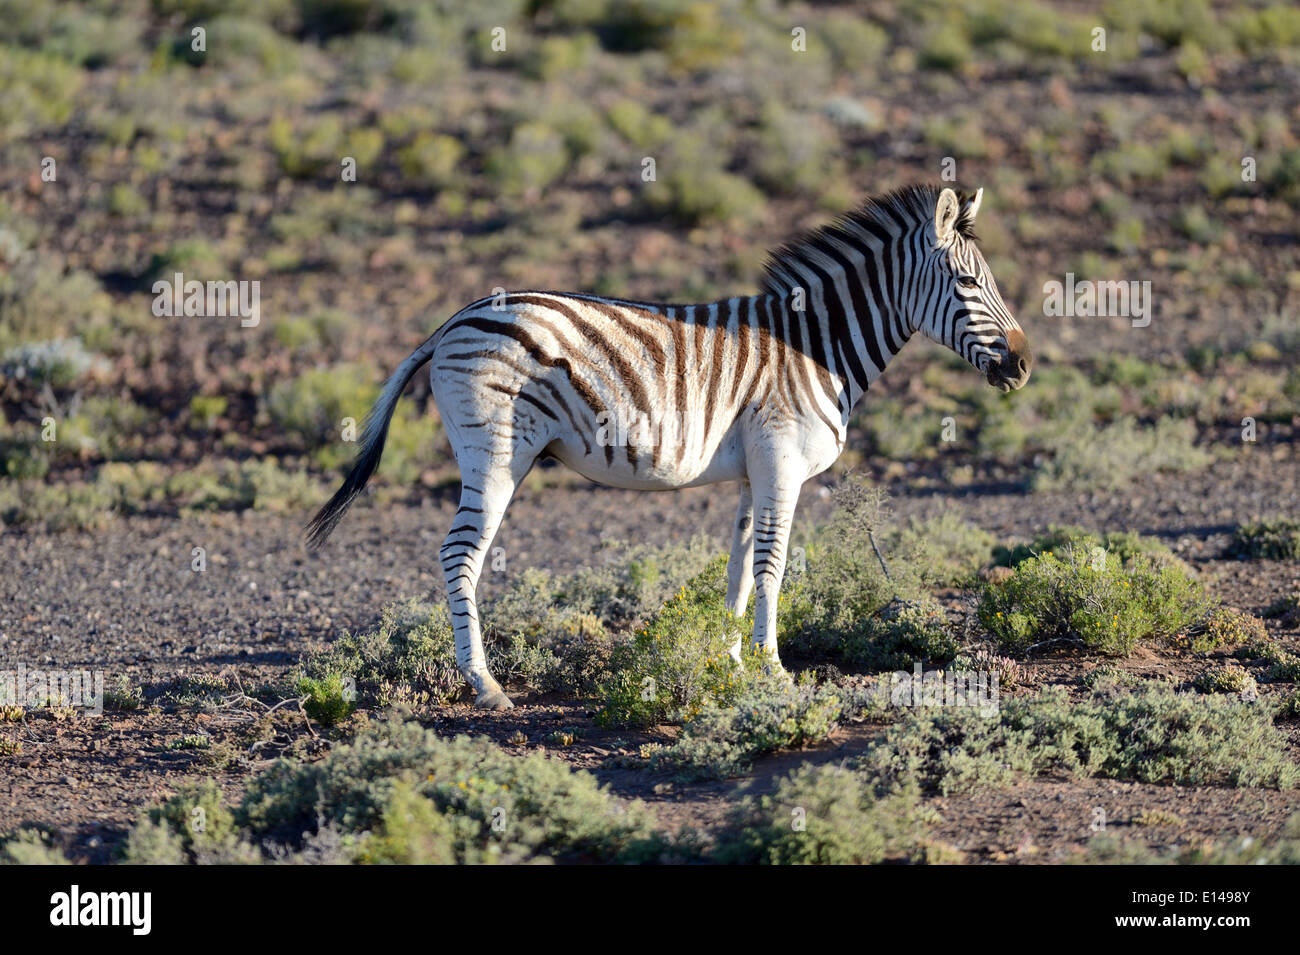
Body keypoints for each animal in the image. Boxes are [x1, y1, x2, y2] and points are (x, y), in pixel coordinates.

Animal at [307, 184, 1032, 709]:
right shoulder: (782, 463)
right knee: (459, 553)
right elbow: (773, 567)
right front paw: (773, 669)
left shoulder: (754, 471)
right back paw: (485, 686)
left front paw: (731, 662)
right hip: (496, 452)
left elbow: (739, 569)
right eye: (970, 285)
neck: (815, 347)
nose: (1024, 366)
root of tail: (452, 320)